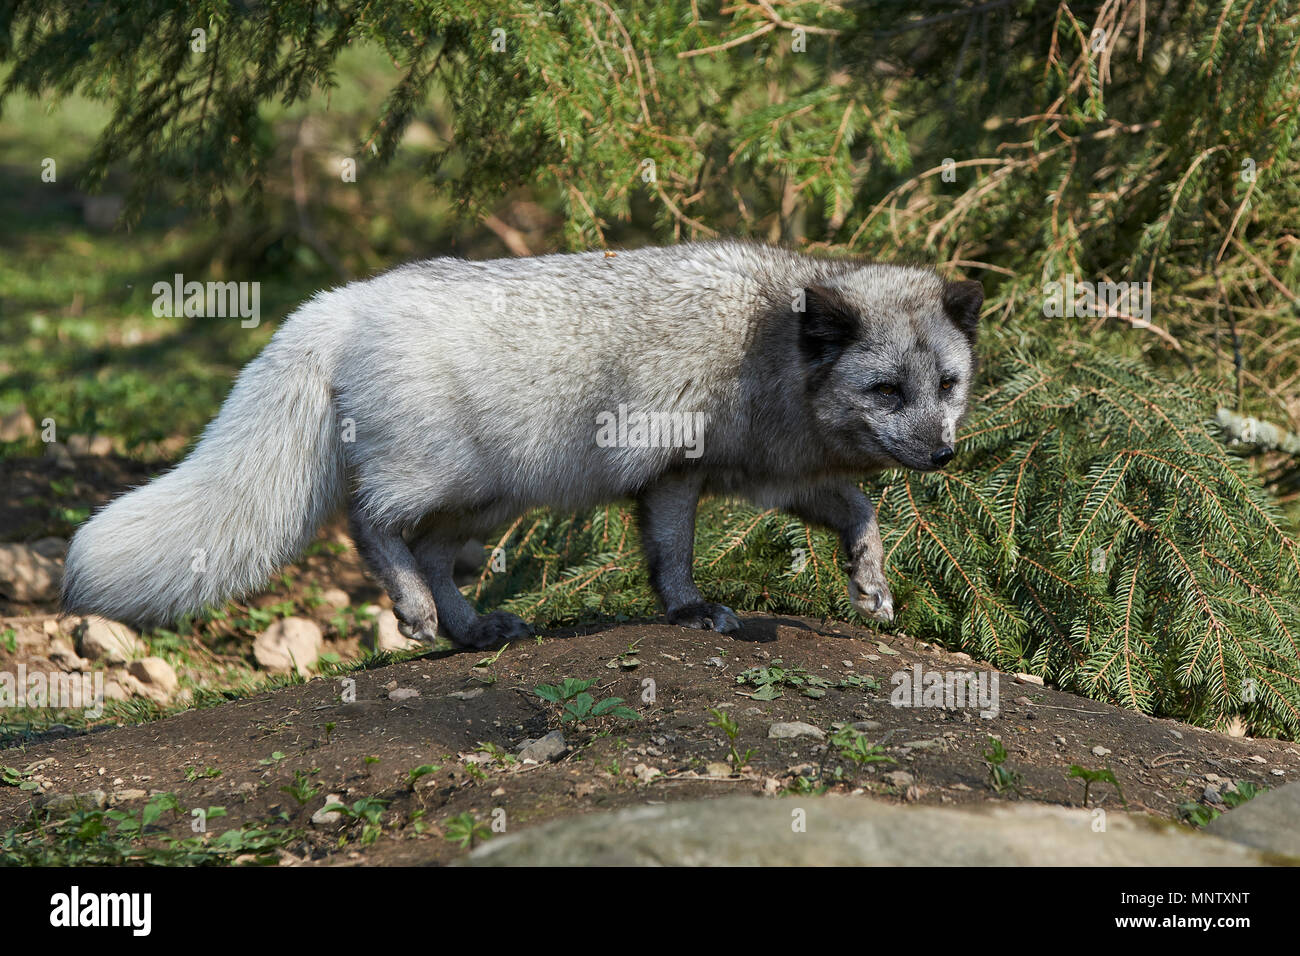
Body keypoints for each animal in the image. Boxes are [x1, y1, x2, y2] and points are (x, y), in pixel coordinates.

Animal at [62, 241, 983, 648]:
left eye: (947, 386)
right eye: (886, 391)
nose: (944, 456)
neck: (768, 344)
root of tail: (341, 301)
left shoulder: (773, 475)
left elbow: (860, 510)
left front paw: (872, 587)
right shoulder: (672, 471)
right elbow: (672, 557)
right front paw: (690, 612)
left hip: (491, 499)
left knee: (434, 555)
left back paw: (470, 628)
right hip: (437, 476)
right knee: (370, 524)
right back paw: (414, 611)